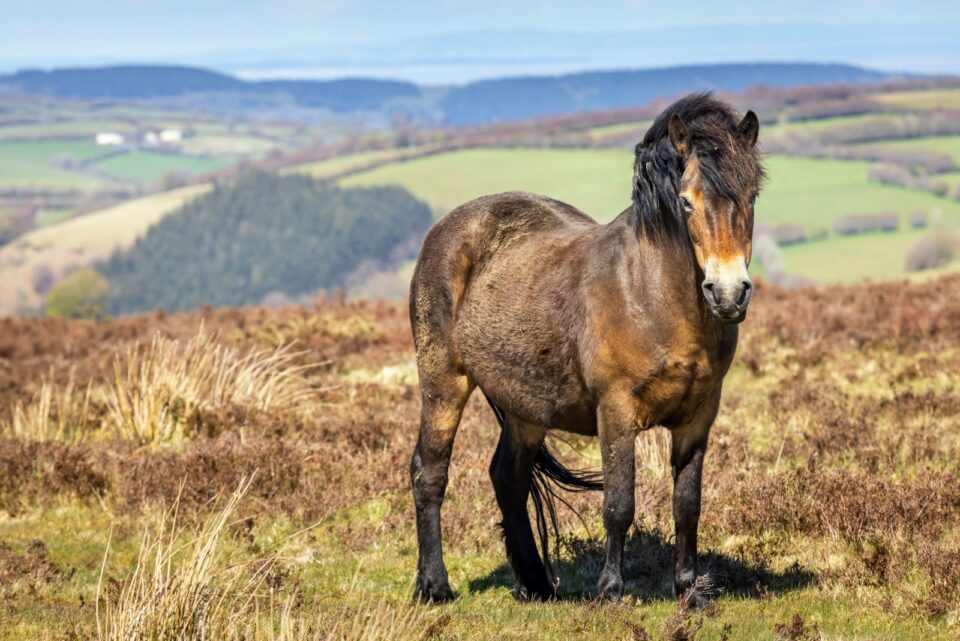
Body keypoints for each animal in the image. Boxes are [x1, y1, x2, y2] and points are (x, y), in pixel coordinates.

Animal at [408, 93, 764, 604]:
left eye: (751, 196)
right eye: (686, 200)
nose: (729, 294)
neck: (649, 294)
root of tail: (448, 229)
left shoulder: (699, 416)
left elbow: (687, 505)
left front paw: (689, 591)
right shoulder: (615, 411)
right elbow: (618, 503)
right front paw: (610, 591)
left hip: (526, 405)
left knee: (508, 477)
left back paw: (537, 585)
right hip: (444, 380)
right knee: (430, 472)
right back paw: (434, 586)